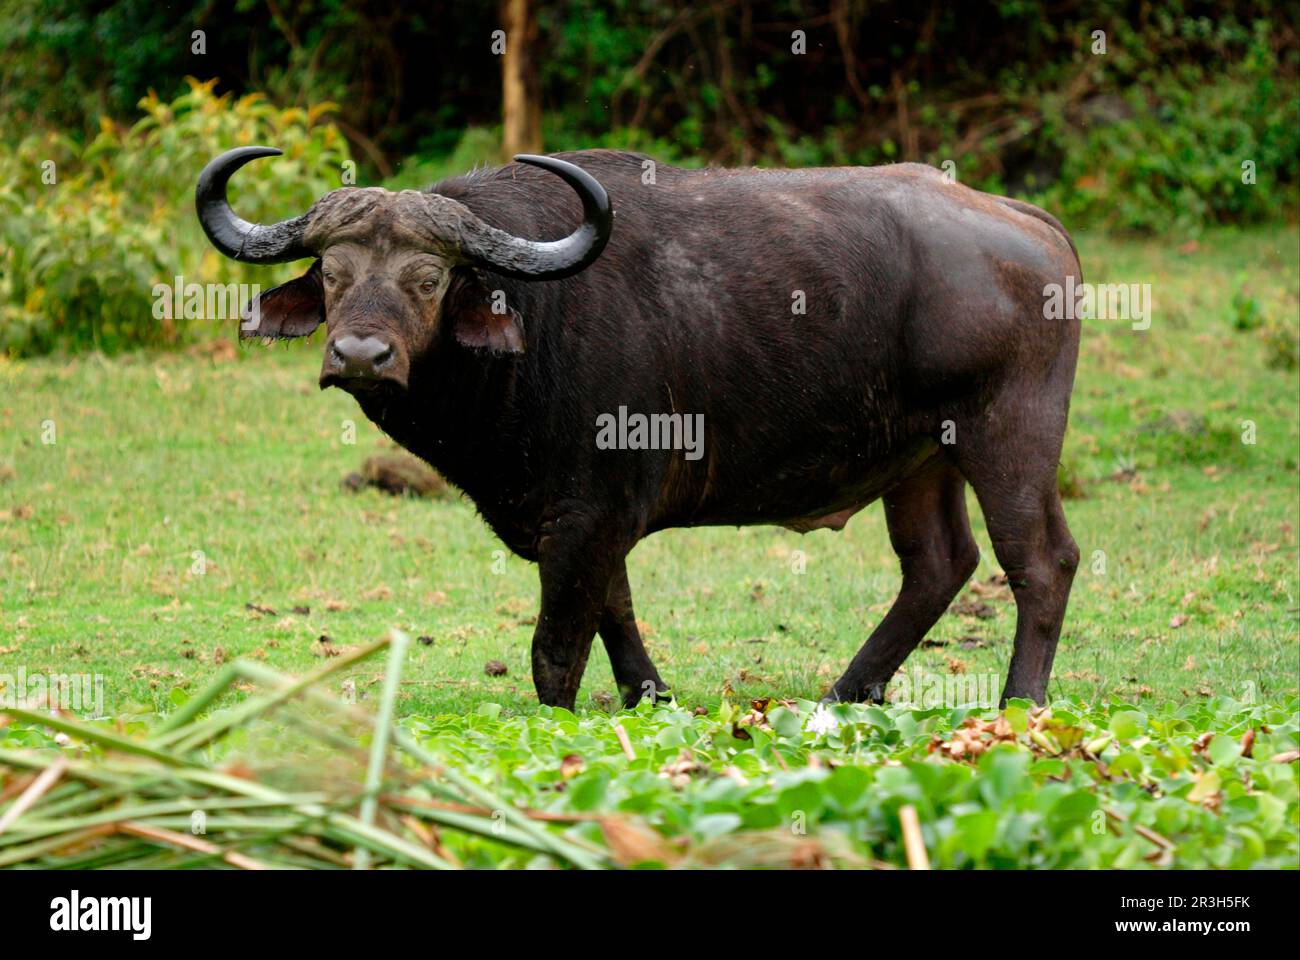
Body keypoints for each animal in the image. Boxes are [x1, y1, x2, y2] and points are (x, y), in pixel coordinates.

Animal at [195, 147, 1082, 710]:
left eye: (429, 278)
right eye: (331, 273)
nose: (360, 354)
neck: (533, 320)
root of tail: (1029, 223)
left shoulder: (586, 515)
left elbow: (557, 646)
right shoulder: (592, 520)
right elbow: (615, 609)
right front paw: (648, 694)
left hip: (1009, 434)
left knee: (1040, 560)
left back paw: (1018, 700)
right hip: (921, 458)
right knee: (939, 564)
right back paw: (847, 692)